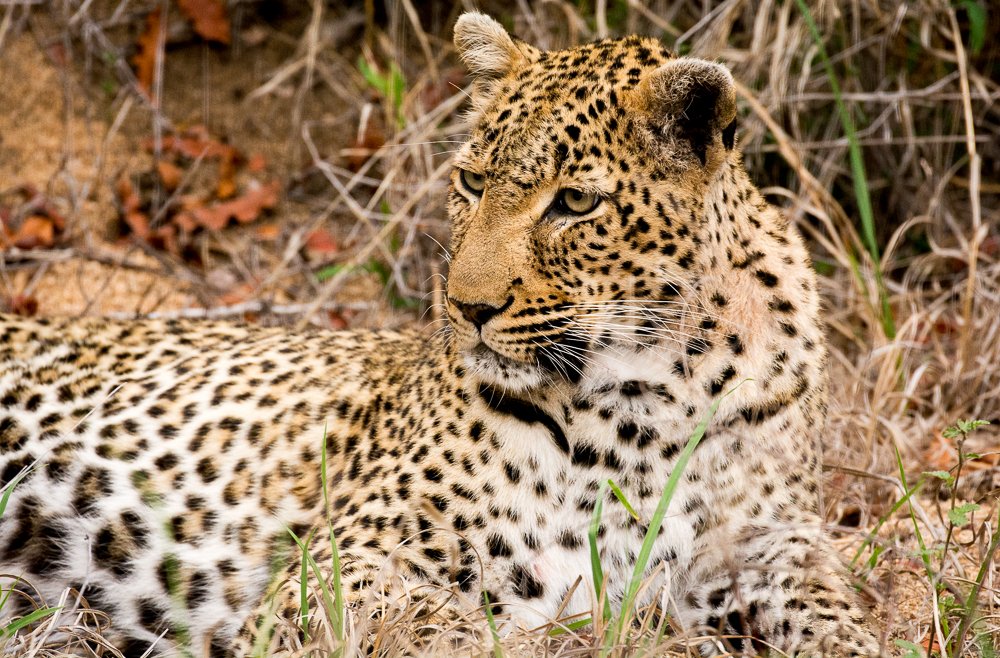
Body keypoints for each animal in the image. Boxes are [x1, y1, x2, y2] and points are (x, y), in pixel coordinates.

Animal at [0, 12, 881, 657]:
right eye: (471, 181)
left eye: (575, 203)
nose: (466, 307)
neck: (656, 385)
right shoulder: (347, 563)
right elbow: (447, 627)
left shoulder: (768, 546)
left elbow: (835, 614)